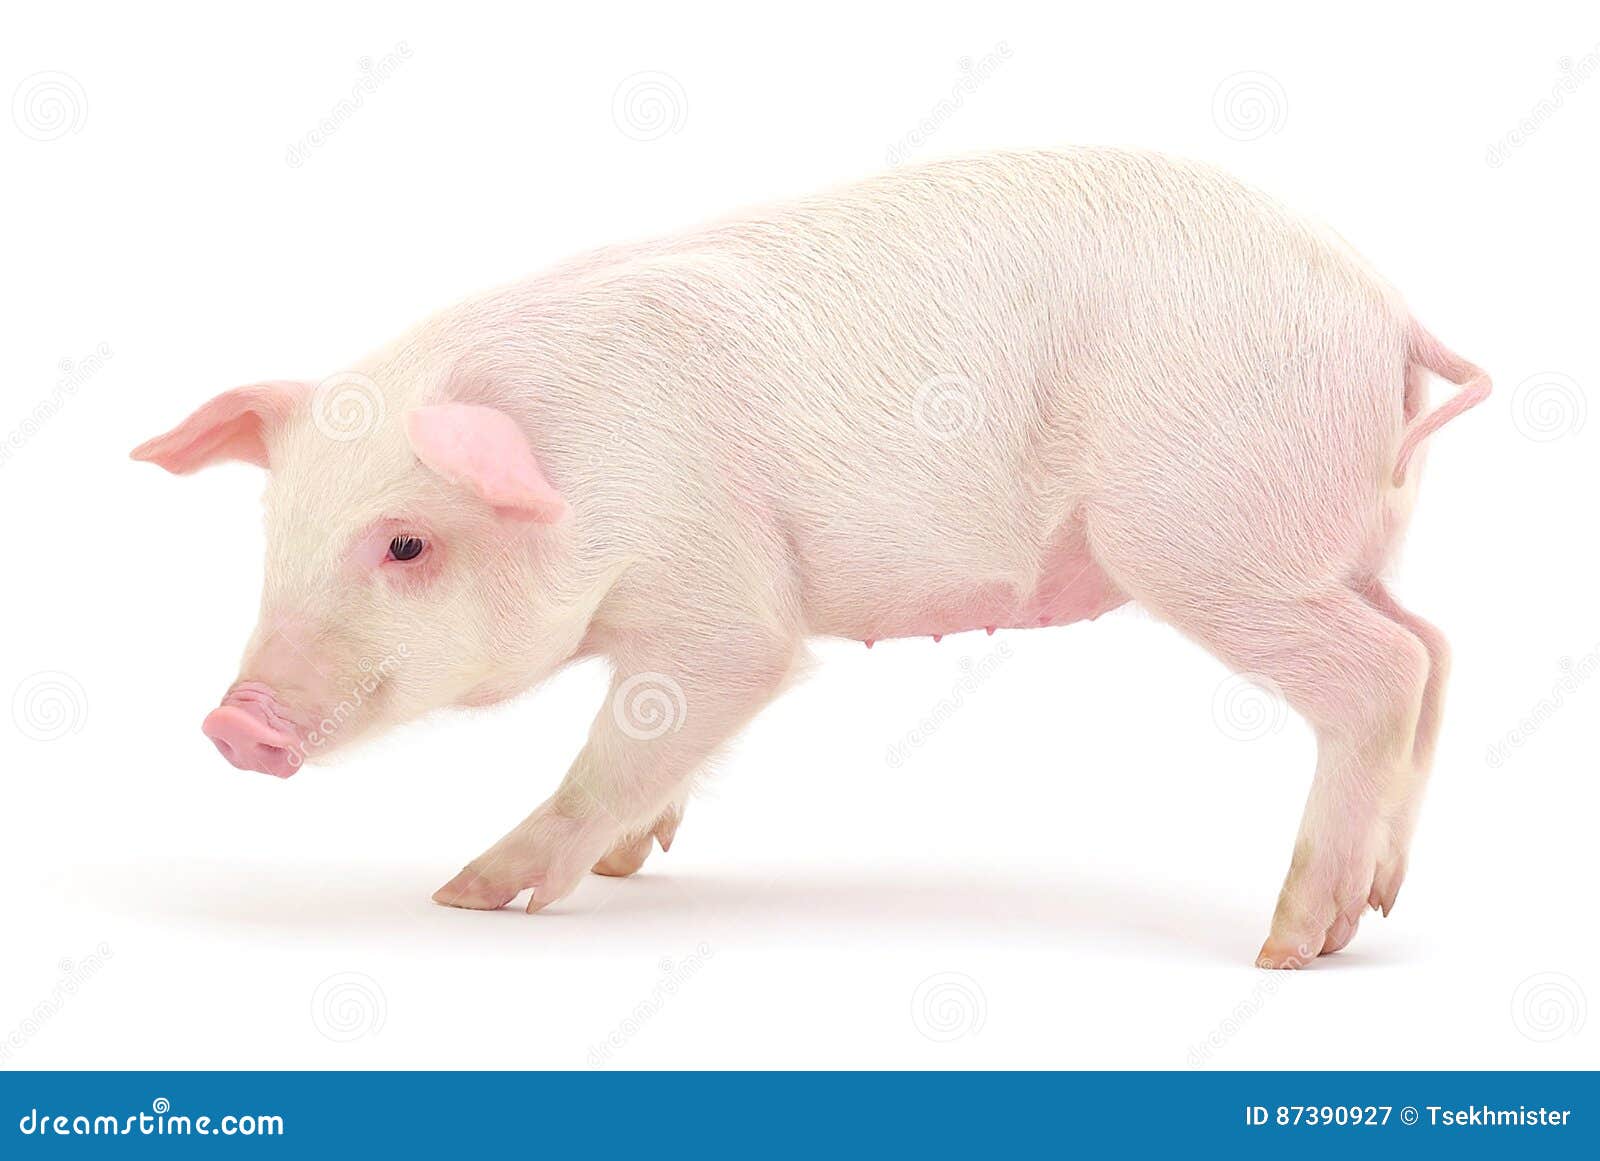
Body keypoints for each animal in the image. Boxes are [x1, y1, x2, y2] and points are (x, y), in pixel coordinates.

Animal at [131, 148, 1488, 966]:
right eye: (278, 535)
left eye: (406, 542)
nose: (233, 723)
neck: (588, 472)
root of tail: (1385, 310)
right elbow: (652, 756)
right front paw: (629, 862)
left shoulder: (719, 602)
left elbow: (656, 725)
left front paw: (467, 896)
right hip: (1333, 538)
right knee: (1431, 644)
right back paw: (1378, 905)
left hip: (1217, 535)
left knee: (1378, 674)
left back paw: (1288, 944)